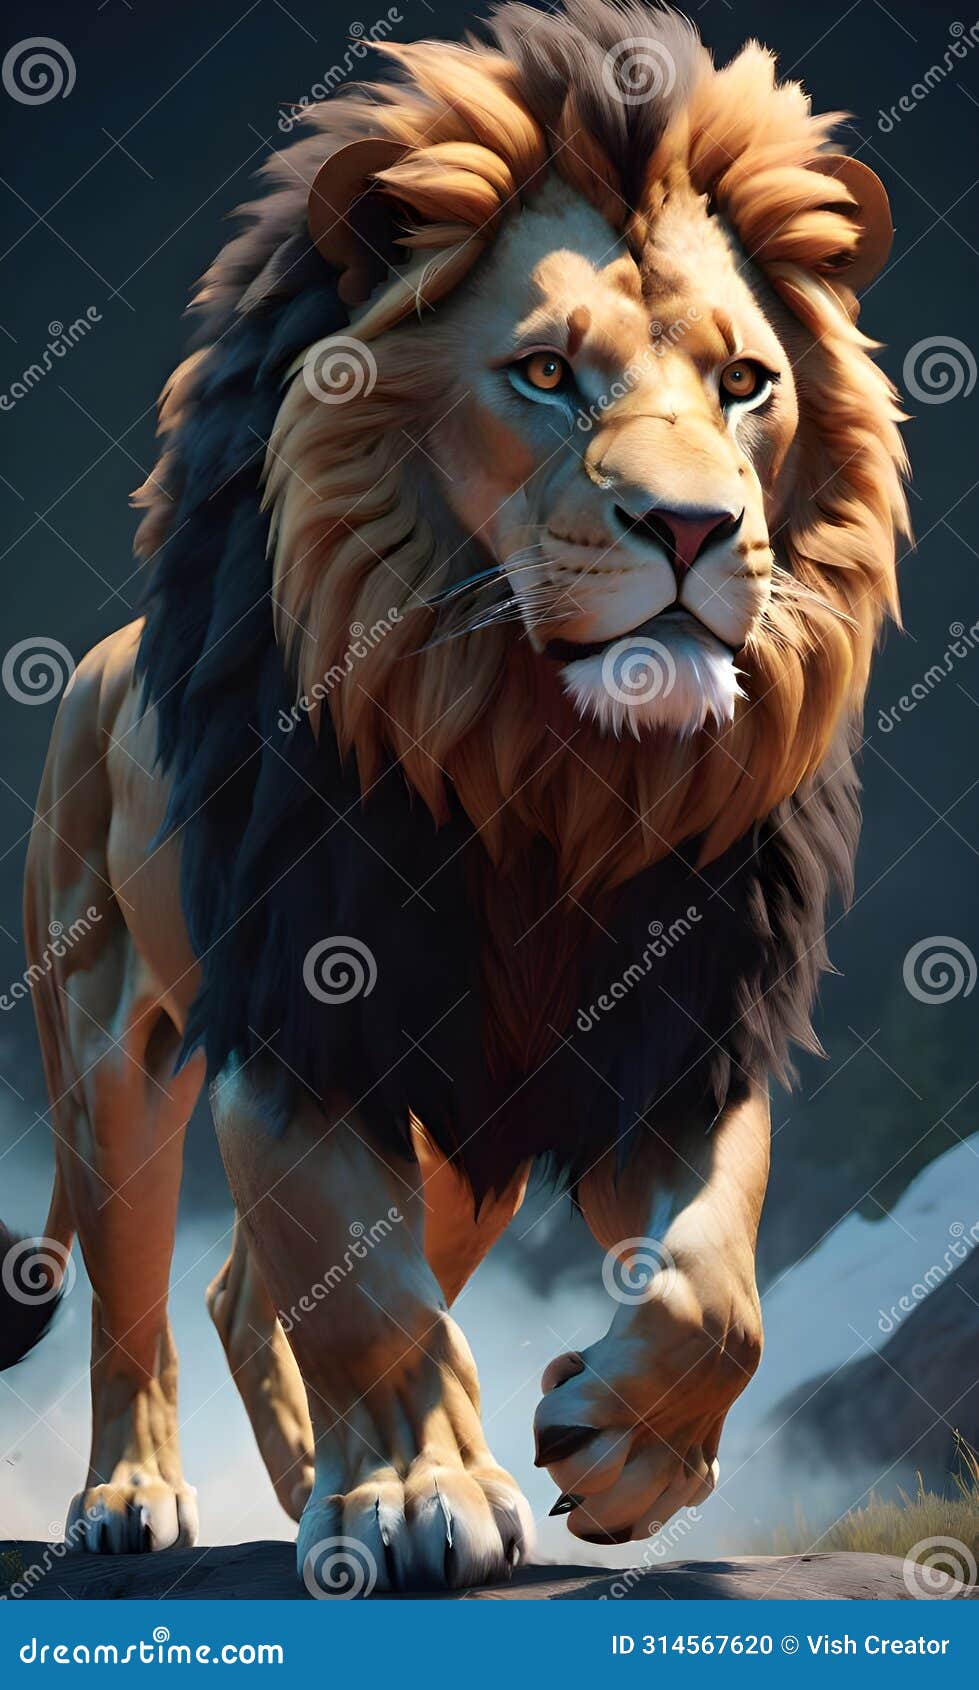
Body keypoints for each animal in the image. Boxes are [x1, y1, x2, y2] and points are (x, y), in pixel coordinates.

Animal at [1, 0, 907, 1589]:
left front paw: (619, 1446)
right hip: (106, 1051)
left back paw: (305, 1479)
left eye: (744, 383)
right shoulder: (302, 1016)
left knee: (241, 1292)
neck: (543, 766)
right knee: (136, 1303)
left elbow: (715, 1287)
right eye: (545, 374)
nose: (691, 526)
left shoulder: (675, 1032)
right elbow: (368, 1304)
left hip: (456, 1138)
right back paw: (137, 1496)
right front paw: (422, 1493)